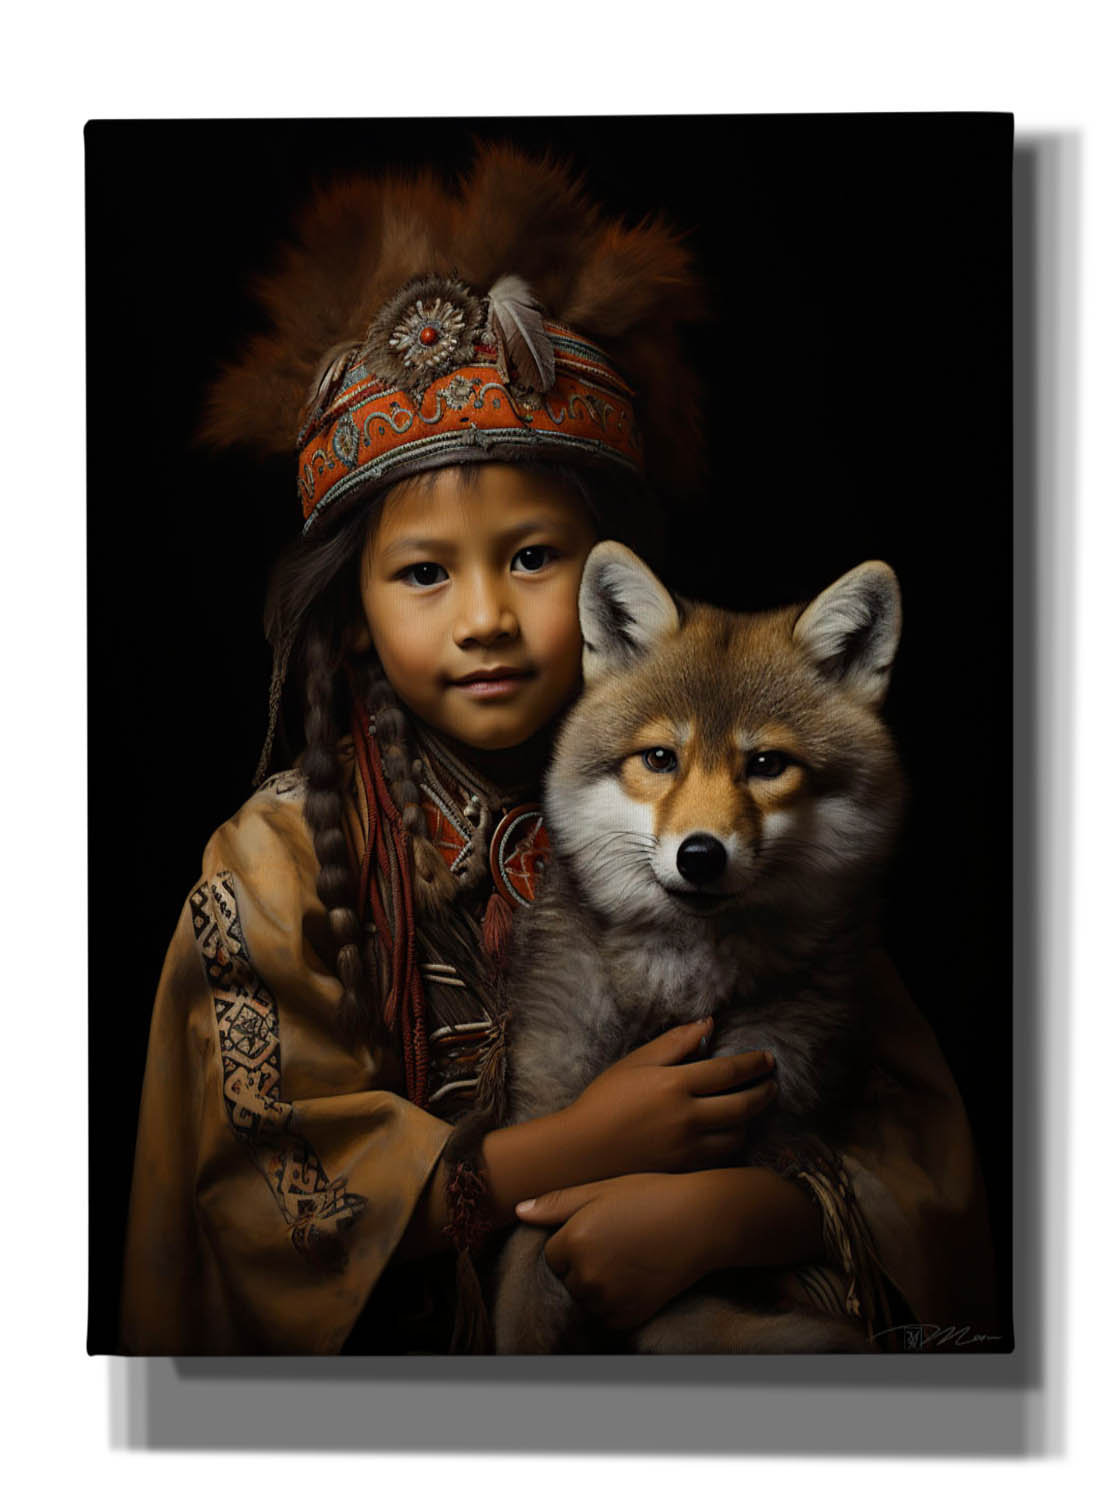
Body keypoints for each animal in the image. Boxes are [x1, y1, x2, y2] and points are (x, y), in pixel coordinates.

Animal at [481, 540, 905, 1354]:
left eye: (767, 765)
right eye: (660, 759)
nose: (701, 855)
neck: (674, 997)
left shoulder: (775, 1138)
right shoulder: (542, 1147)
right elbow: (515, 1313)